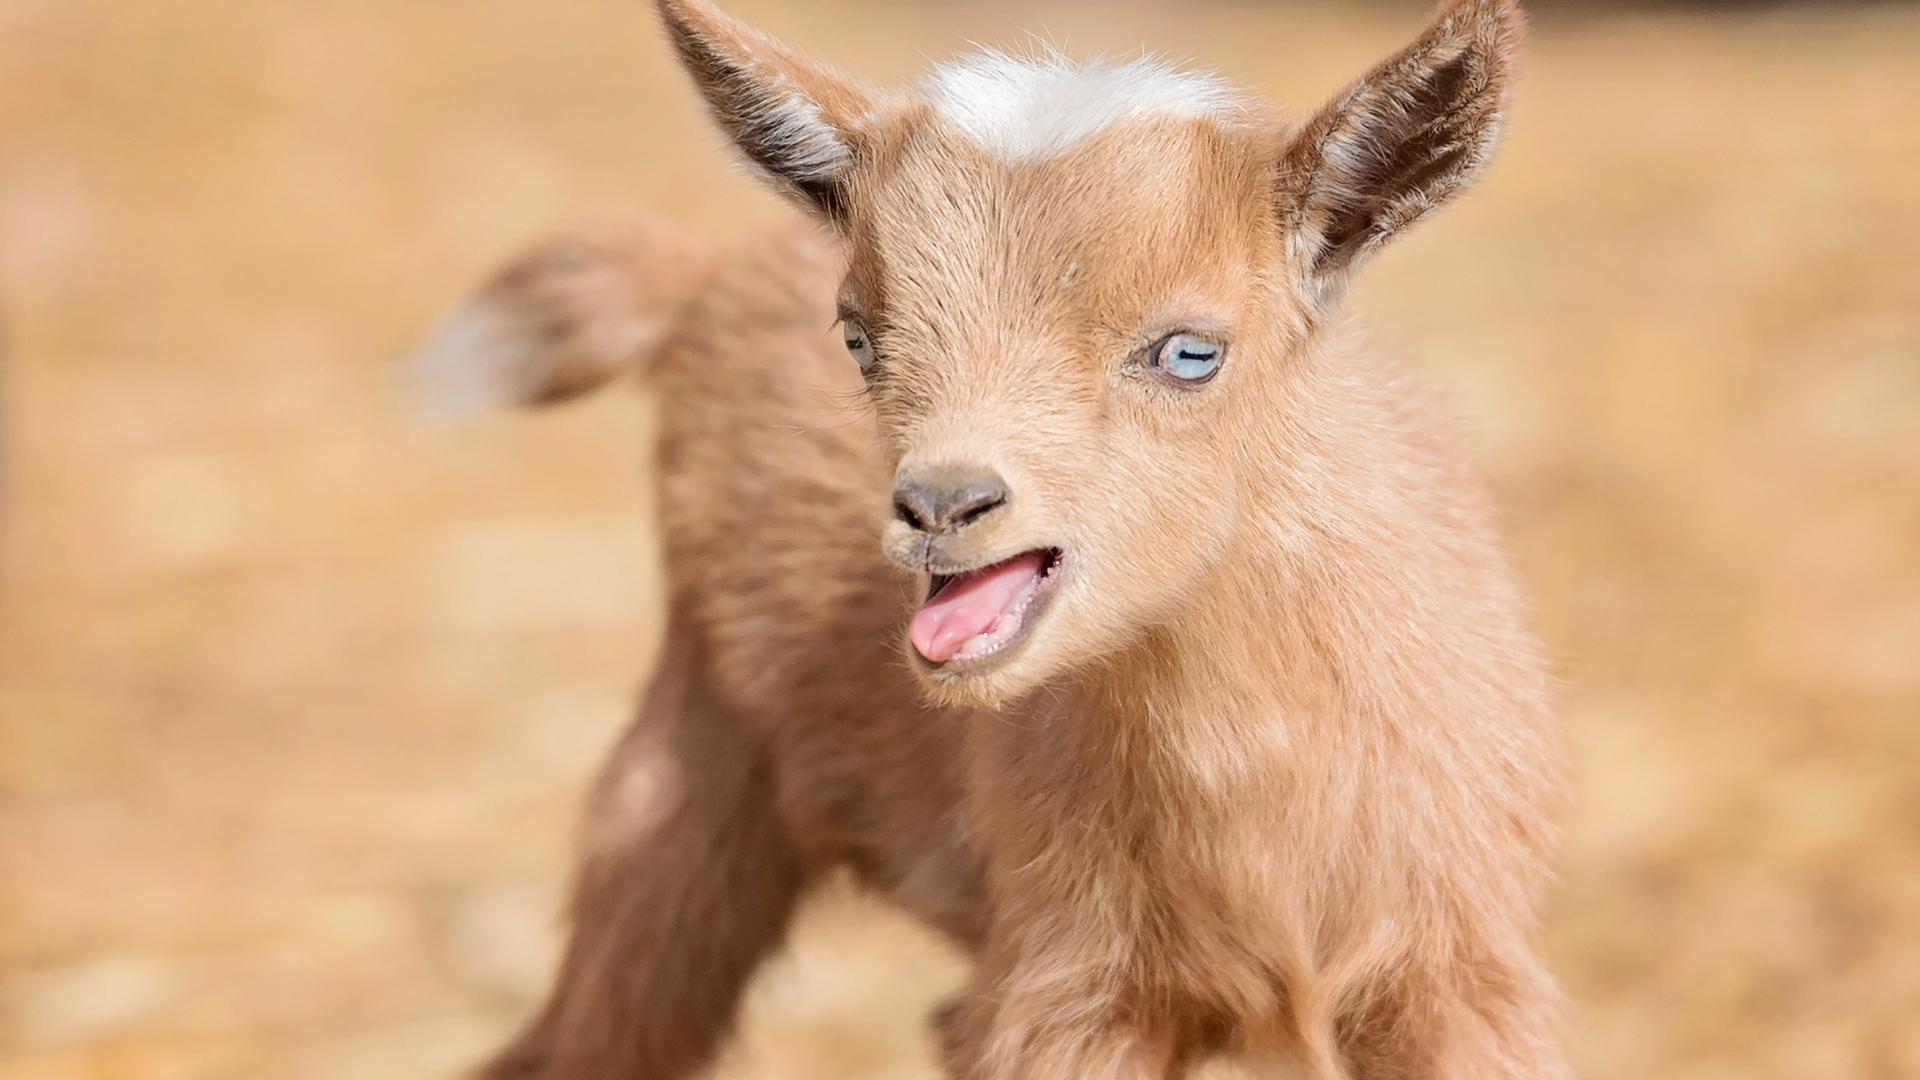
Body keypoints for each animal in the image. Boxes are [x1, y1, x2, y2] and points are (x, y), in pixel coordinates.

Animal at [415, 0, 1568, 1075]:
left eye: (1190, 352)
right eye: (858, 337)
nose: (941, 506)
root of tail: (696, 276)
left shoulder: (1460, 975)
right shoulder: (1064, 985)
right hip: (686, 775)